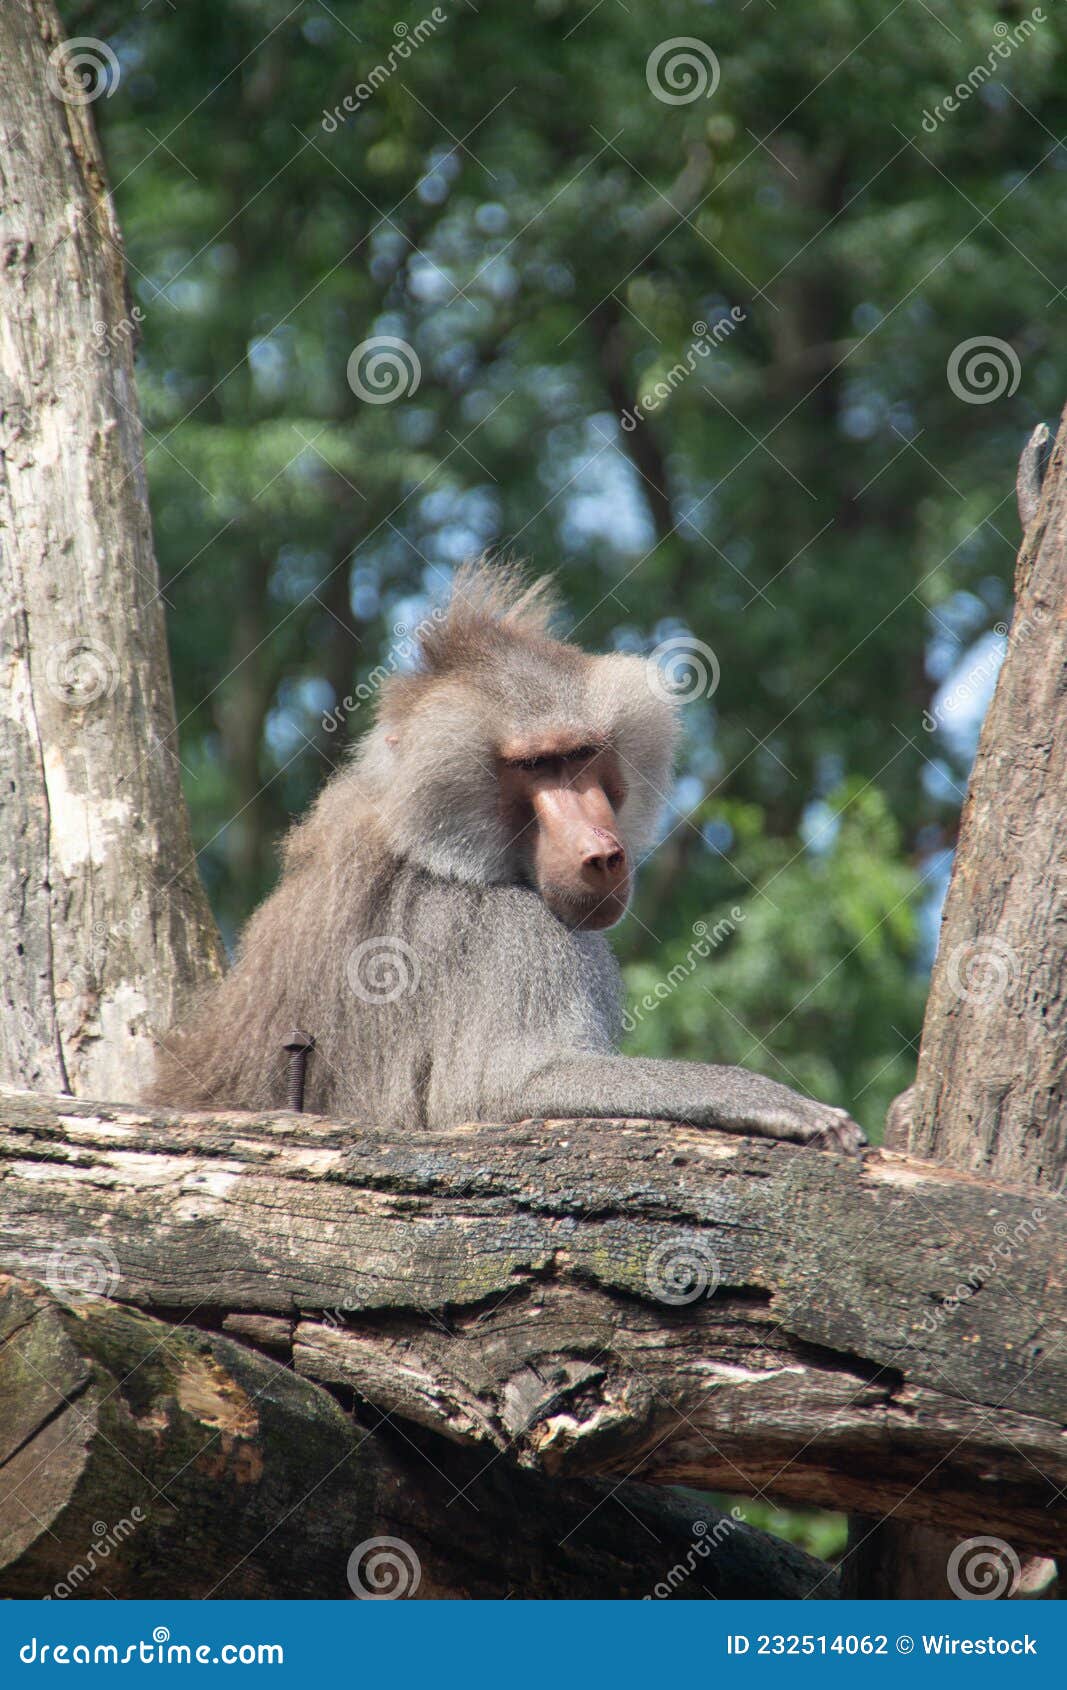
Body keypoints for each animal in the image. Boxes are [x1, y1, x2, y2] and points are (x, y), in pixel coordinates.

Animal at [146, 564, 865, 1156]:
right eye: (535, 766)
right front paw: (768, 1100)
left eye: (580, 756)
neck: (428, 839)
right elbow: (503, 1091)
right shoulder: (509, 932)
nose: (602, 856)